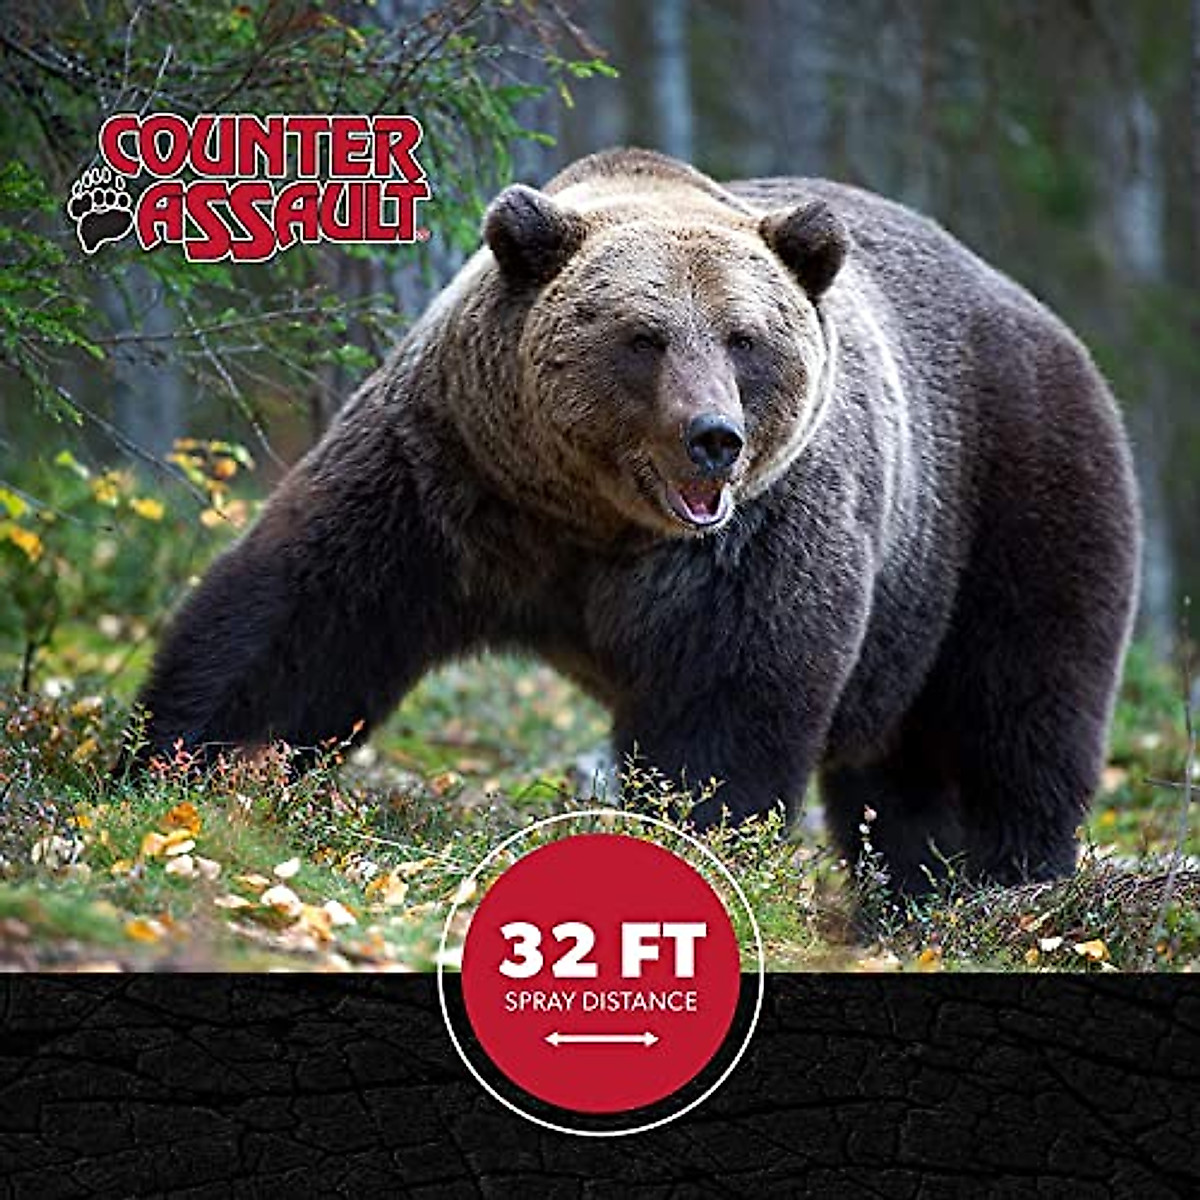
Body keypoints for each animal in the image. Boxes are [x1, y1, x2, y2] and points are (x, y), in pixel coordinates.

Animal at [130, 148, 1141, 894]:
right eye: (644, 337)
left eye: (744, 339)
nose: (715, 438)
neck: (591, 520)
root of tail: (1047, 323)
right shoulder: (447, 473)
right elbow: (307, 619)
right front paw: (174, 767)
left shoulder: (751, 539)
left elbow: (727, 705)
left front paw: (701, 842)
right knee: (906, 777)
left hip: (1007, 495)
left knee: (1014, 715)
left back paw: (1005, 883)